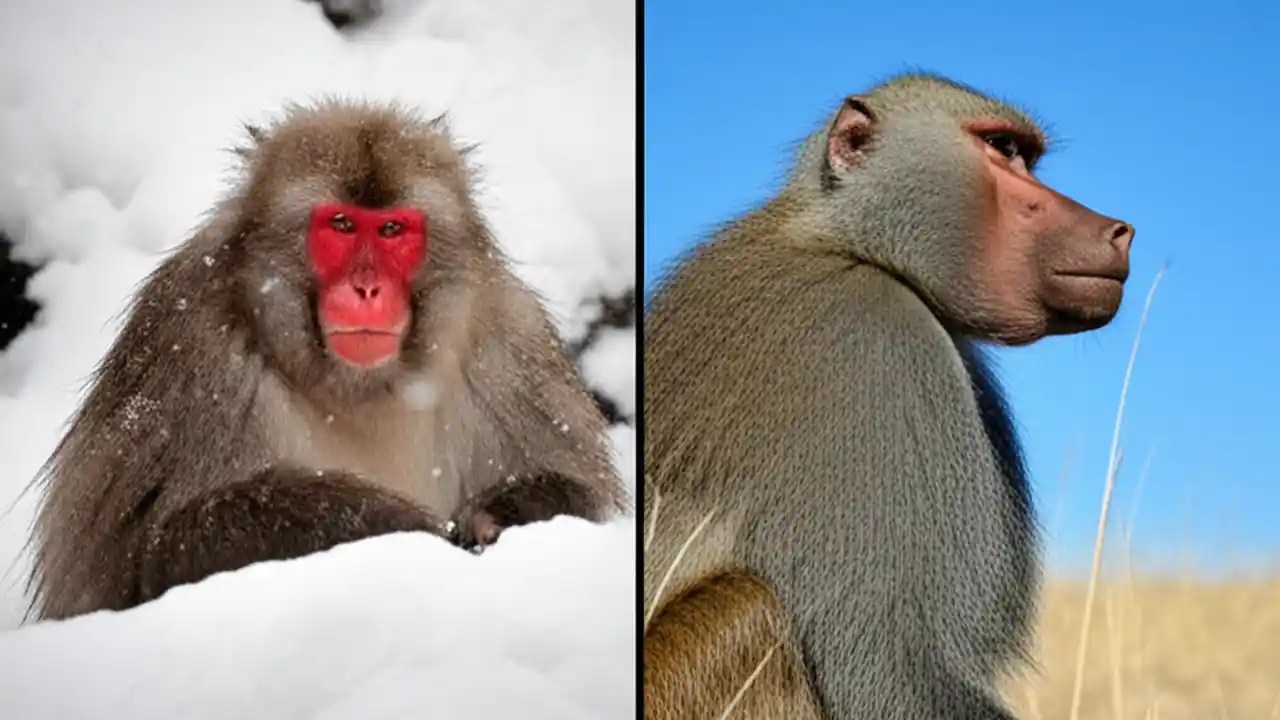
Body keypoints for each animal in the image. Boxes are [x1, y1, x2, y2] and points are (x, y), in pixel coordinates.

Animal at [27, 99, 628, 621]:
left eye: (391, 229)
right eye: (341, 225)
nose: (367, 288)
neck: (358, 387)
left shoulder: (510, 341)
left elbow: (584, 496)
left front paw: (496, 516)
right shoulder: (188, 347)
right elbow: (146, 553)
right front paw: (393, 523)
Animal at [642, 73, 1134, 719]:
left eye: (1026, 157)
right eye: (1001, 148)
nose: (1119, 231)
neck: (849, 243)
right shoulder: (864, 347)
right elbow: (886, 669)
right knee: (751, 610)